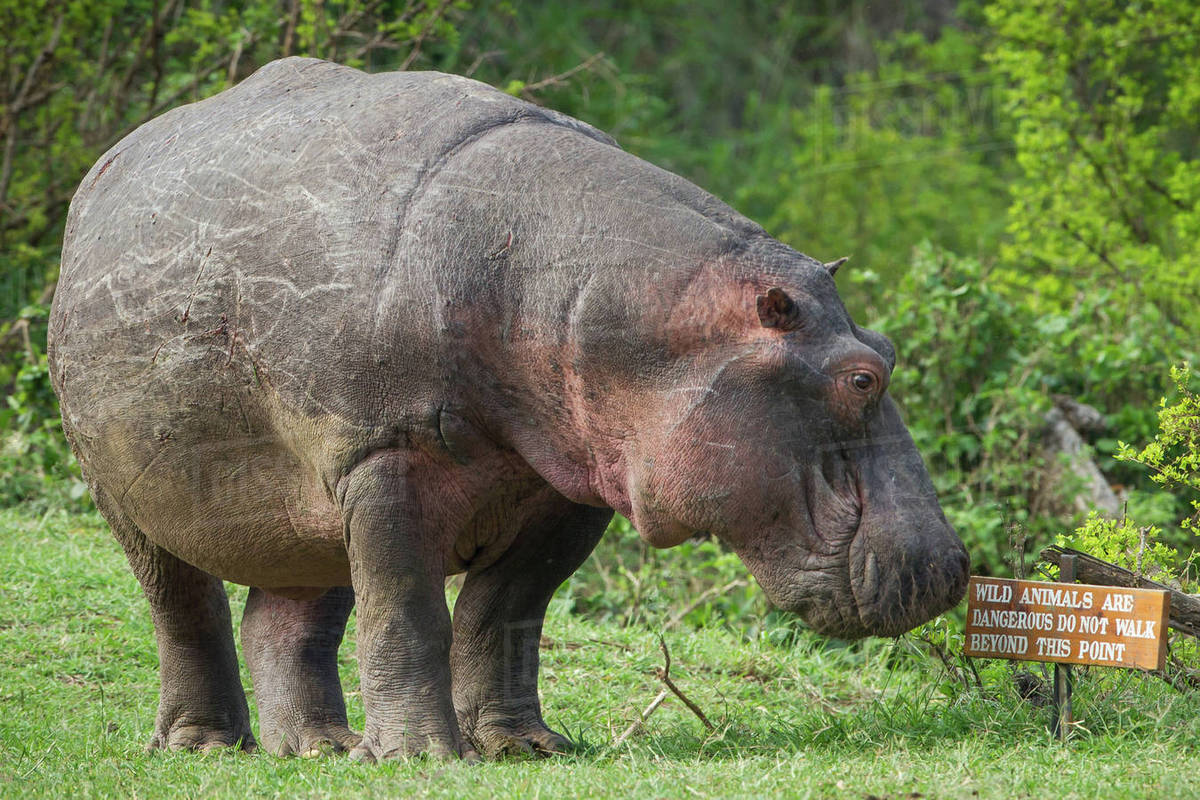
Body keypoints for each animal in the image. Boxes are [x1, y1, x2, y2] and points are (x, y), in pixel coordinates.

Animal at [48, 57, 969, 761]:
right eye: (862, 379)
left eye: (888, 347)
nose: (952, 565)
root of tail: (100, 172)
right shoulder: (383, 458)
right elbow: (408, 611)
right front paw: (423, 758)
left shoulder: (565, 488)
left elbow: (504, 617)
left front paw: (524, 748)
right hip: (127, 487)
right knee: (182, 608)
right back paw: (205, 745)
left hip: (307, 505)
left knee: (290, 621)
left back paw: (324, 749)